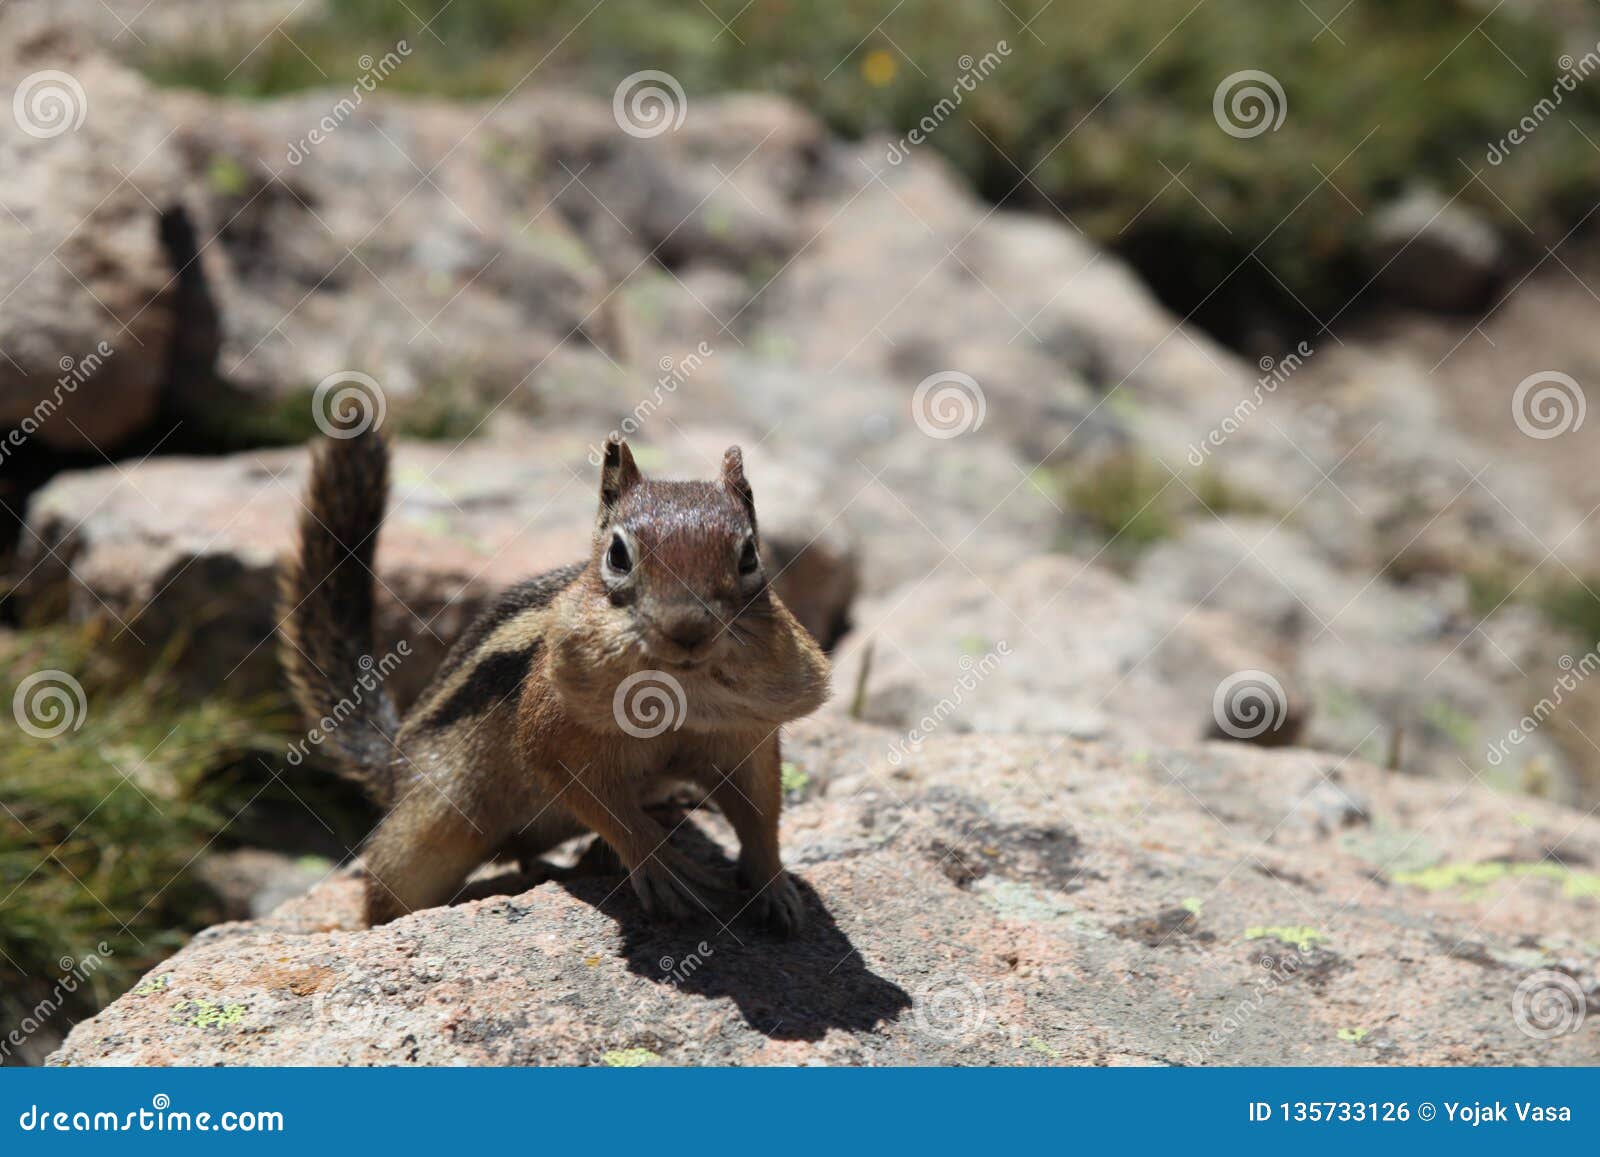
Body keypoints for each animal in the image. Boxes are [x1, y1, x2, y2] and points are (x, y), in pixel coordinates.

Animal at [279, 427, 831, 933]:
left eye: (749, 556)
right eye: (617, 555)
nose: (688, 631)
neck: (683, 693)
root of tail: (394, 761)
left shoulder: (745, 734)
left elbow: (760, 811)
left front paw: (775, 887)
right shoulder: (555, 735)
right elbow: (604, 807)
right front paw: (661, 863)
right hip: (434, 821)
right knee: (388, 884)